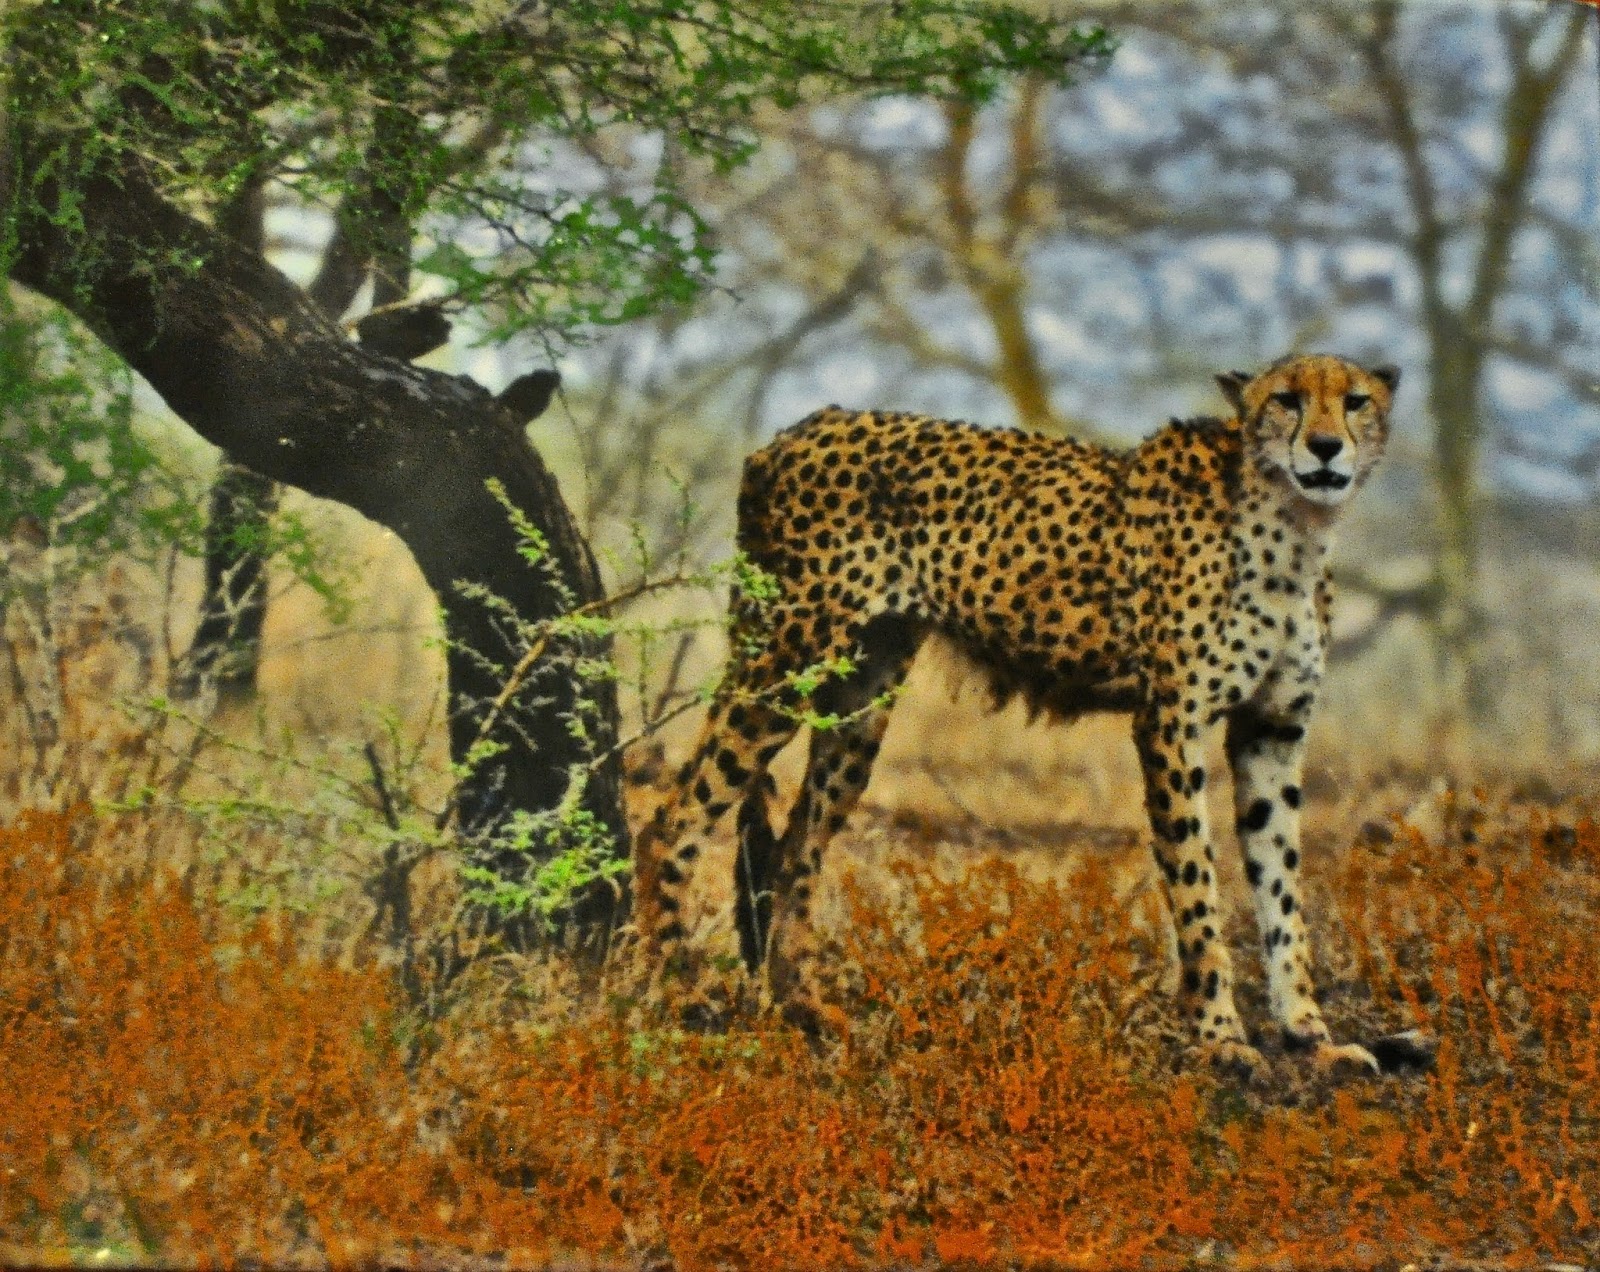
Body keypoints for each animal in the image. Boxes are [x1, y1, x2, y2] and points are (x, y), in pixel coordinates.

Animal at [633, 353, 1401, 1075]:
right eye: (1288, 400)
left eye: (1355, 401)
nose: (1326, 447)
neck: (1292, 527)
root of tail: (798, 428)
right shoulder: (1171, 723)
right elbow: (1198, 891)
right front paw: (1220, 1038)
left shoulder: (1273, 731)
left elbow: (1282, 889)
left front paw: (1310, 1035)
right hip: (785, 663)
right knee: (673, 819)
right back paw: (677, 994)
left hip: (860, 702)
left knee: (798, 847)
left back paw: (802, 1007)